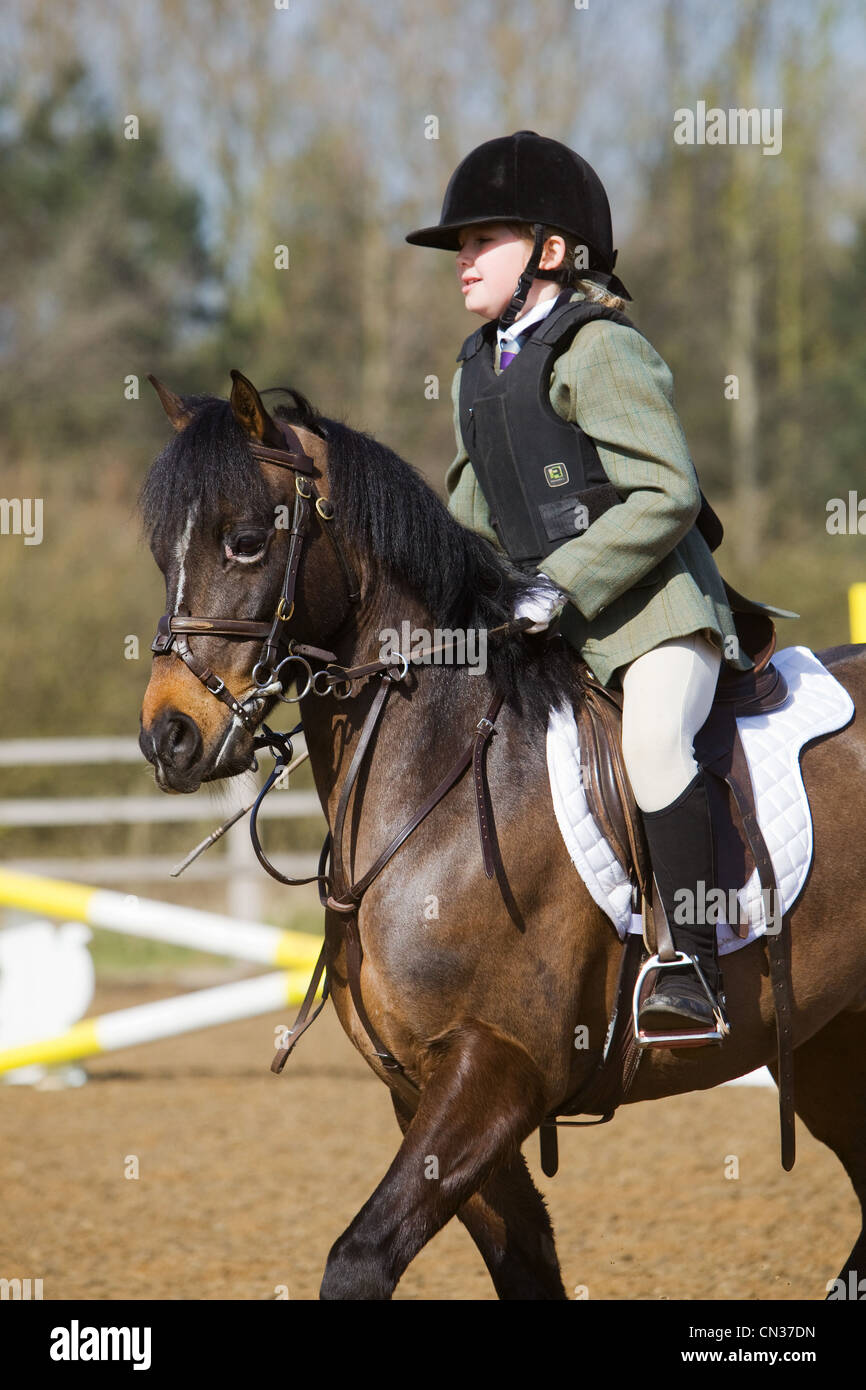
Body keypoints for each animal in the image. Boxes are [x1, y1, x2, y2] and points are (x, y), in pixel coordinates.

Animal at [138, 370, 866, 1301]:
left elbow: (359, 1259)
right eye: (164, 555)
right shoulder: (423, 1089)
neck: (435, 783)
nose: (169, 739)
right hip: (831, 1042)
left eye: (245, 541)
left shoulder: (498, 1069)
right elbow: (524, 1264)